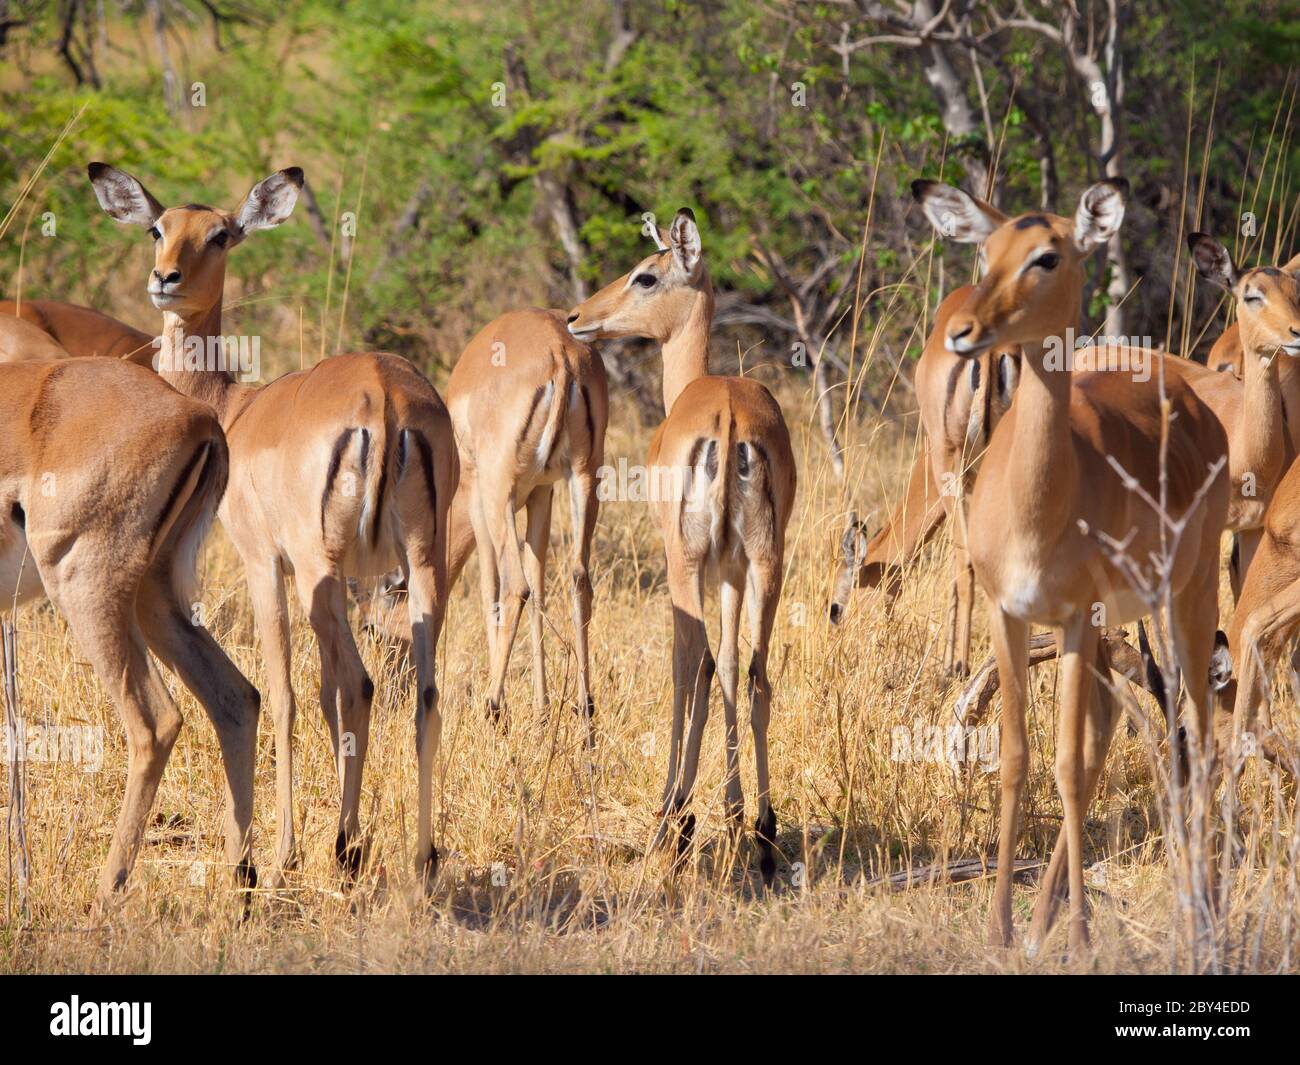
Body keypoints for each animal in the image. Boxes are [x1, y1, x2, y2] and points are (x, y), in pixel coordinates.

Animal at [1, 356, 260, 909]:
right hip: (152, 596)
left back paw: (106, 892)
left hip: (86, 587)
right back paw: (241, 888)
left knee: (156, 721)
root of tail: (196, 415)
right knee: (236, 698)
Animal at [88, 162, 457, 885]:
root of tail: (387, 398)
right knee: (422, 693)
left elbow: (284, 693)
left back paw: (336, 848)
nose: (165, 278)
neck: (236, 408)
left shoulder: (264, 562)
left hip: (320, 567)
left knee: (357, 684)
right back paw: (421, 854)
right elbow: (320, 693)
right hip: (421, 561)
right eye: (157, 227)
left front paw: (284, 851)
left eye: (220, 234)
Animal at [566, 210, 796, 883]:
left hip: (684, 564)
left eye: (646, 274)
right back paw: (764, 833)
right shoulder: (733, 574)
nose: (578, 316)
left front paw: (682, 814)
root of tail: (728, 420)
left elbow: (690, 665)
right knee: (755, 672)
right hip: (768, 564)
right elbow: (733, 666)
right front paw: (735, 811)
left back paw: (675, 818)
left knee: (691, 664)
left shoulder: (693, 568)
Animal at [912, 178, 1230, 951]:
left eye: (1048, 256)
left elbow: (1068, 767)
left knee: (1197, 730)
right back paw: (1049, 913)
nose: (966, 330)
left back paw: (1201, 909)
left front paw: (1082, 932)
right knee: (1118, 730)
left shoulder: (1077, 617)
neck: (1039, 507)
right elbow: (1018, 758)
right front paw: (1002, 926)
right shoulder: (1012, 614)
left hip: (1188, 594)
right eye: (988, 249)